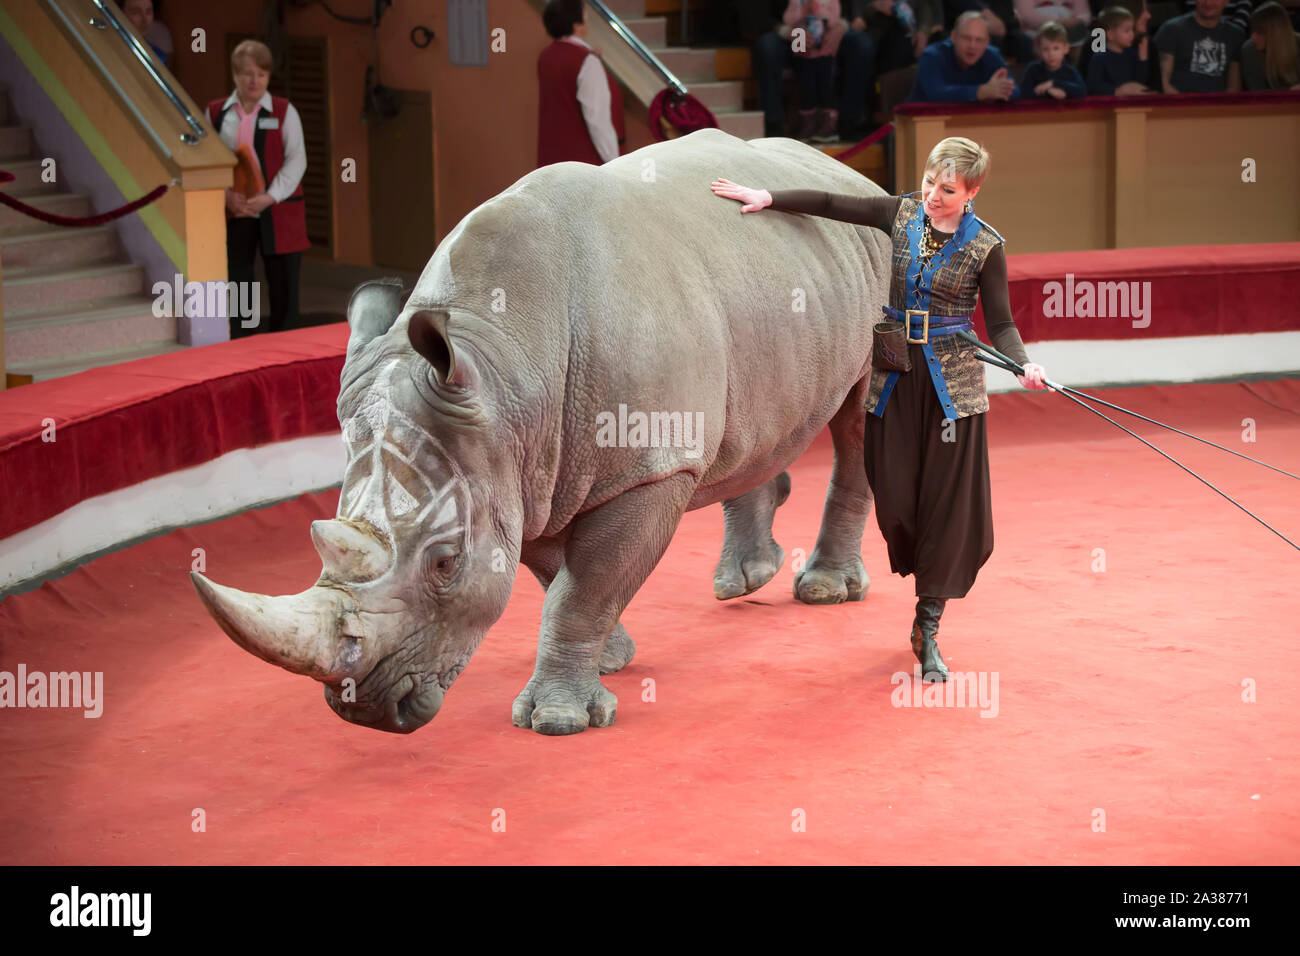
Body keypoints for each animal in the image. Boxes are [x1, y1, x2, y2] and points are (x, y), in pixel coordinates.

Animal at [191, 127, 891, 736]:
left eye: (445, 563)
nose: (366, 711)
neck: (505, 369)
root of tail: (847, 172)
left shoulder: (643, 470)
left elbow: (585, 585)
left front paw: (559, 721)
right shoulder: (519, 471)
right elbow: (559, 576)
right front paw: (611, 657)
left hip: (877, 268)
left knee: (860, 418)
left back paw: (824, 591)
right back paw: (745, 580)